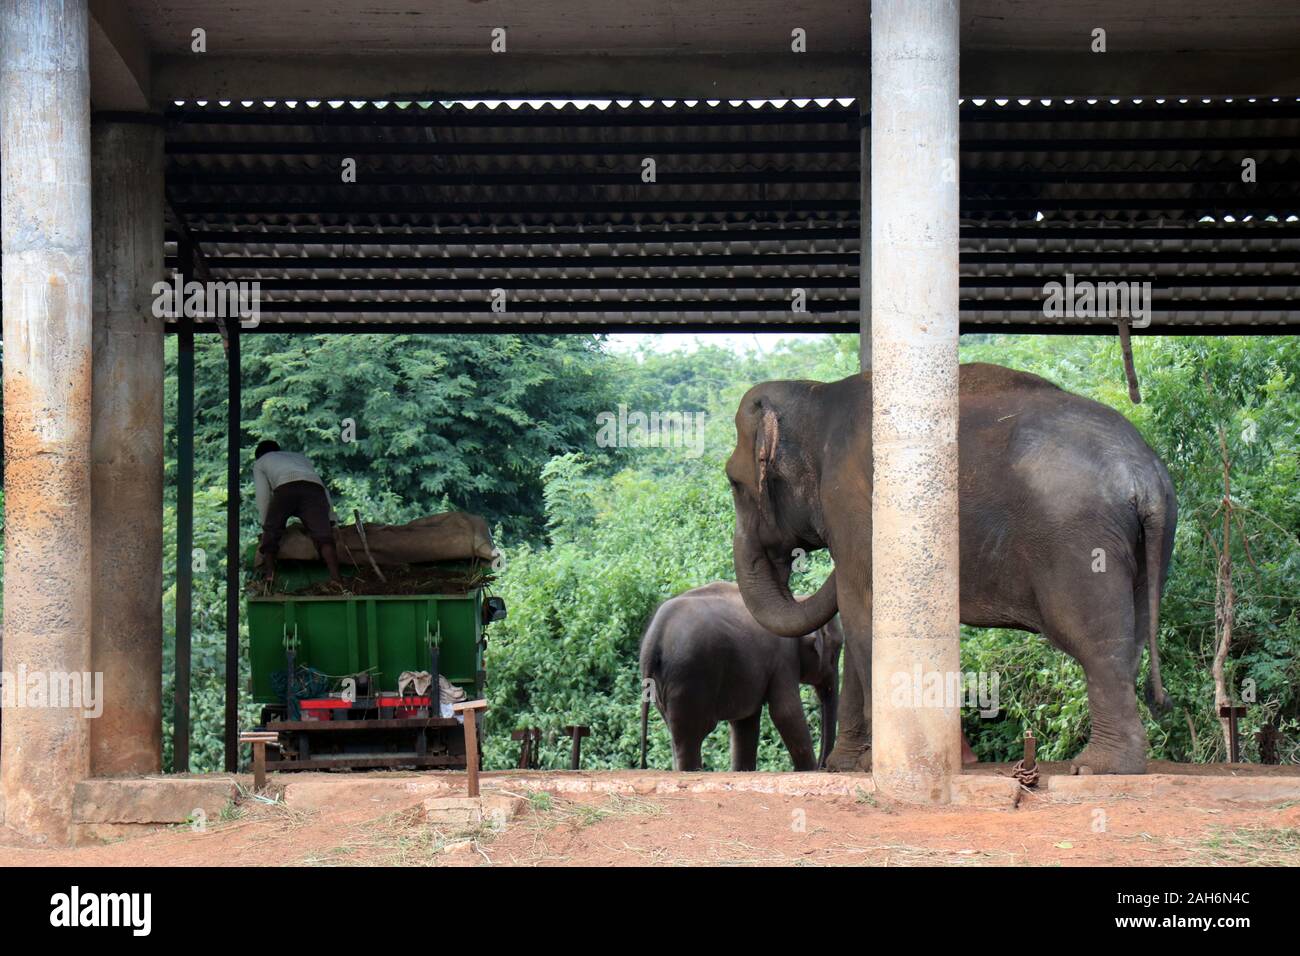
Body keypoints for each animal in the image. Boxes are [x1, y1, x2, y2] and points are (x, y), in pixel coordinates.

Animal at [639, 582, 843, 772]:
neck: (799, 602)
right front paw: (808, 770)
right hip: (689, 676)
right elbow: (785, 712)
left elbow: (746, 722)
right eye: (834, 654)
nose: (824, 766)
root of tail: (655, 637)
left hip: (660, 684)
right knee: (691, 735)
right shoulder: (783, 659)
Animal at [726, 362, 1177, 776]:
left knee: (1095, 642)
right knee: (1132, 637)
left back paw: (1097, 767)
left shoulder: (850, 507)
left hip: (1078, 541)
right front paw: (849, 766)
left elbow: (862, 612)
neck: (816, 395)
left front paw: (875, 764)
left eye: (733, 483)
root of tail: (1143, 473)